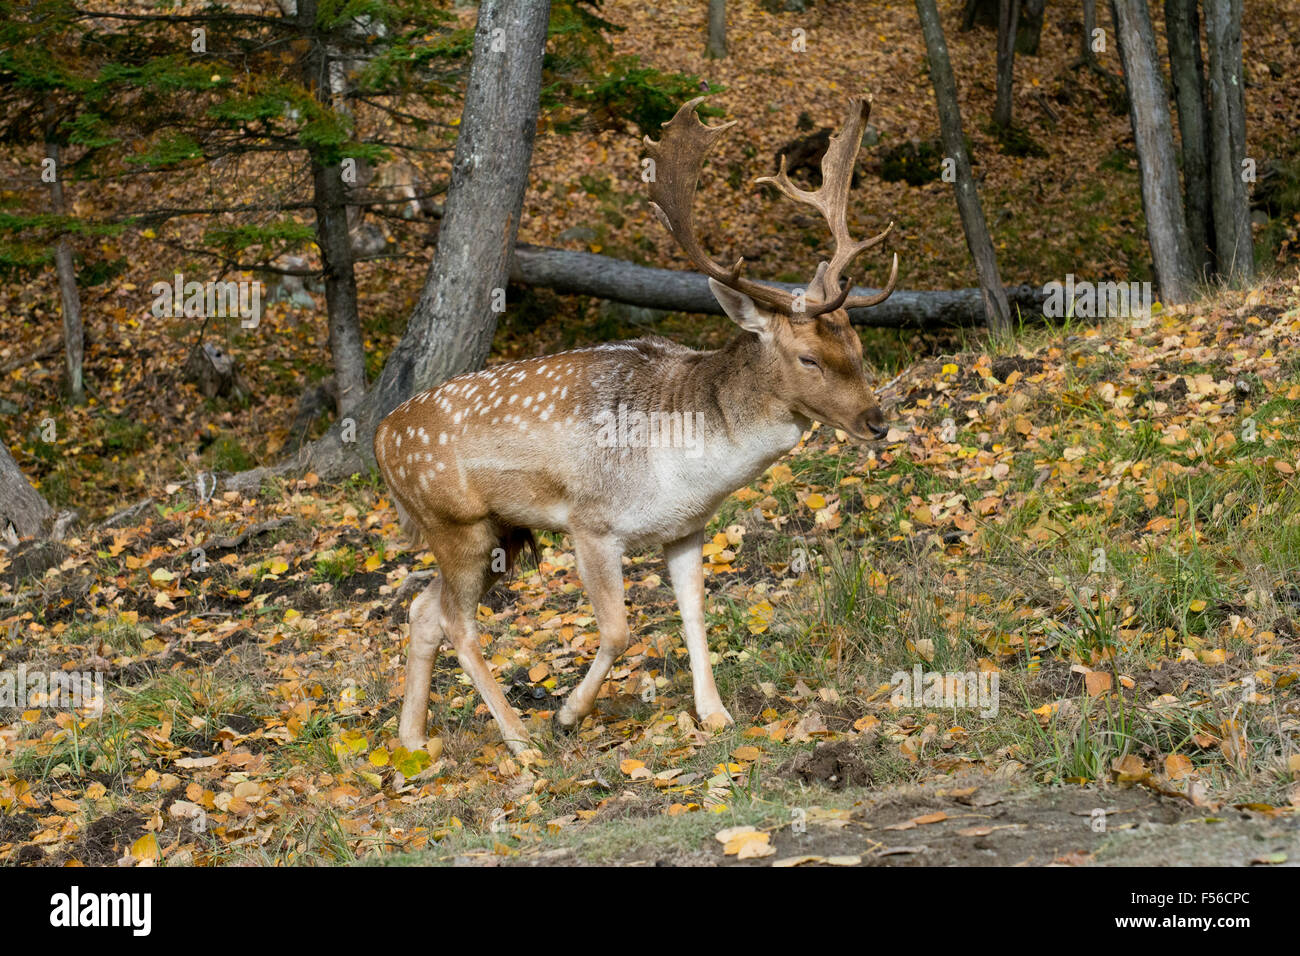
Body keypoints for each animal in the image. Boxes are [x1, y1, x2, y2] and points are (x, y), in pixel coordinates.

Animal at [376, 95, 900, 755]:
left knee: (425, 611)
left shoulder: (686, 528)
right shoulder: (592, 522)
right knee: (456, 622)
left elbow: (696, 613)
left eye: (857, 345)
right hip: (456, 522)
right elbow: (619, 630)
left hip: (499, 533)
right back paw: (522, 743)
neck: (685, 465)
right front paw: (570, 714)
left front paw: (716, 715)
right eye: (809, 358)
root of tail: (378, 439)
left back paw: (413, 743)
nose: (876, 421)